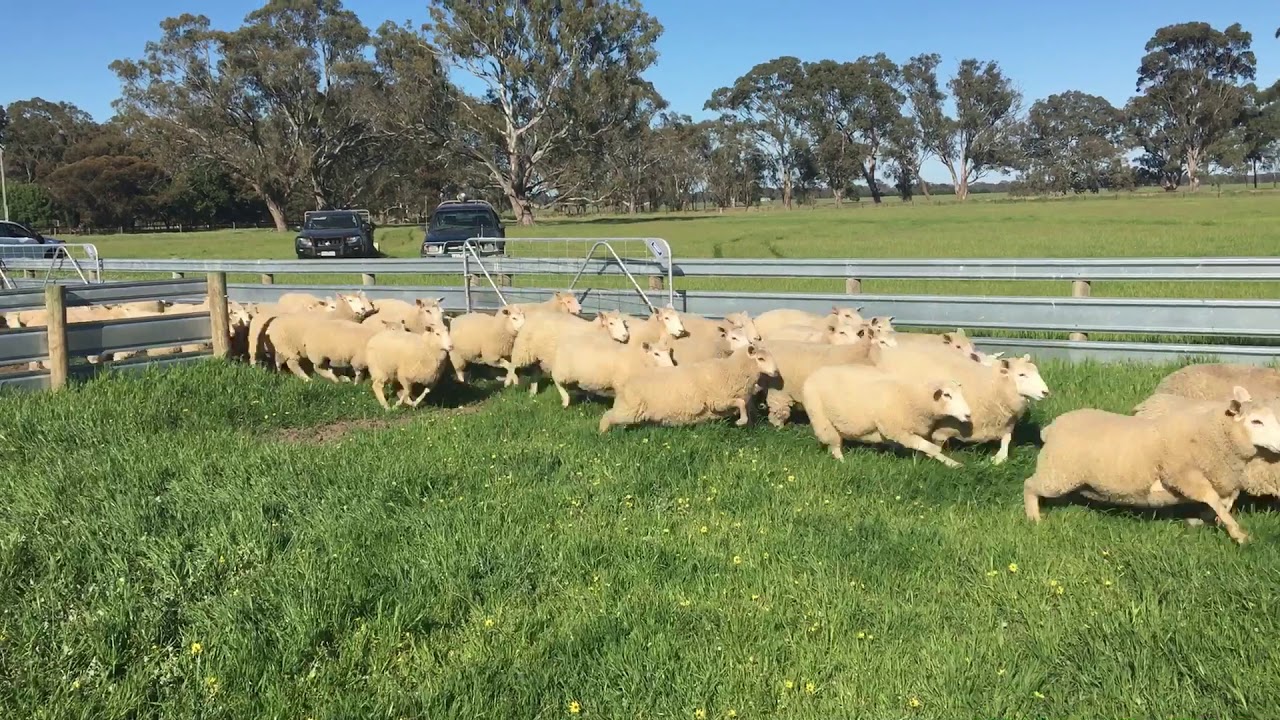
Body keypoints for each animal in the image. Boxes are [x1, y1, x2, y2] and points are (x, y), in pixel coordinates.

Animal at [599, 343, 779, 433]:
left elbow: (745, 406)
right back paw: (603, 434)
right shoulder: (718, 401)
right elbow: (740, 403)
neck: (732, 369)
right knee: (607, 416)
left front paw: (747, 423)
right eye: (761, 358)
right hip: (629, 410)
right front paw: (741, 422)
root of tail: (626, 384)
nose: (776, 372)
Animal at [801, 364, 972, 467]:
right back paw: (843, 462)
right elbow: (929, 447)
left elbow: (926, 448)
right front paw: (946, 460)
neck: (914, 396)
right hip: (821, 418)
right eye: (947, 395)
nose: (968, 415)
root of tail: (817, 372)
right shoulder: (896, 430)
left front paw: (952, 464)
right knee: (834, 444)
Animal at [1023, 387, 1280, 545]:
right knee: (1029, 486)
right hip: (1057, 473)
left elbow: (1223, 503)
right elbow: (1213, 499)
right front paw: (1239, 534)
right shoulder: (1184, 475)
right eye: (1256, 421)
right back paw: (1034, 518)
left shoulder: (1222, 480)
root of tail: (1051, 428)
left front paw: (1207, 521)